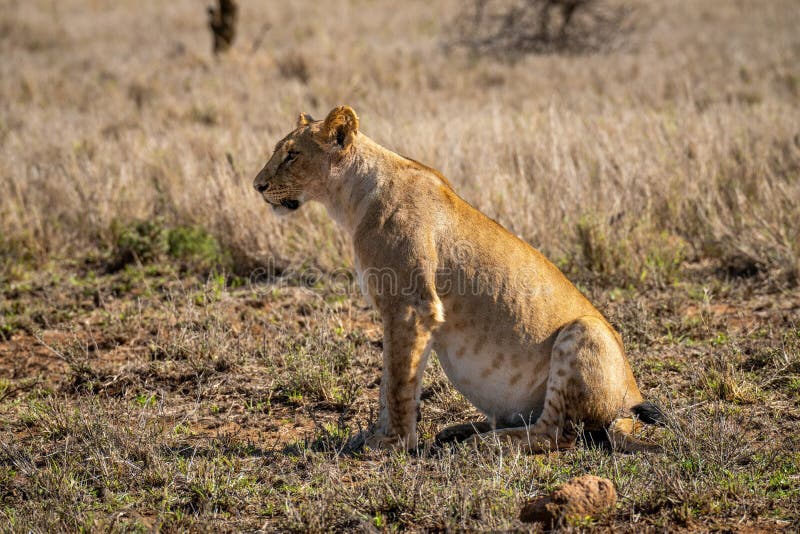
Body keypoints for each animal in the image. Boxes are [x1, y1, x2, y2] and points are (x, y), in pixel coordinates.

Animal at [253, 105, 665, 452]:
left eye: (292, 154)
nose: (257, 185)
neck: (349, 201)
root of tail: (631, 396)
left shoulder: (410, 306)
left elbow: (398, 382)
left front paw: (391, 443)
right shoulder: (397, 311)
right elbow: (388, 378)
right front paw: (376, 435)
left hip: (585, 331)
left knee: (555, 434)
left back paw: (482, 442)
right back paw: (459, 431)